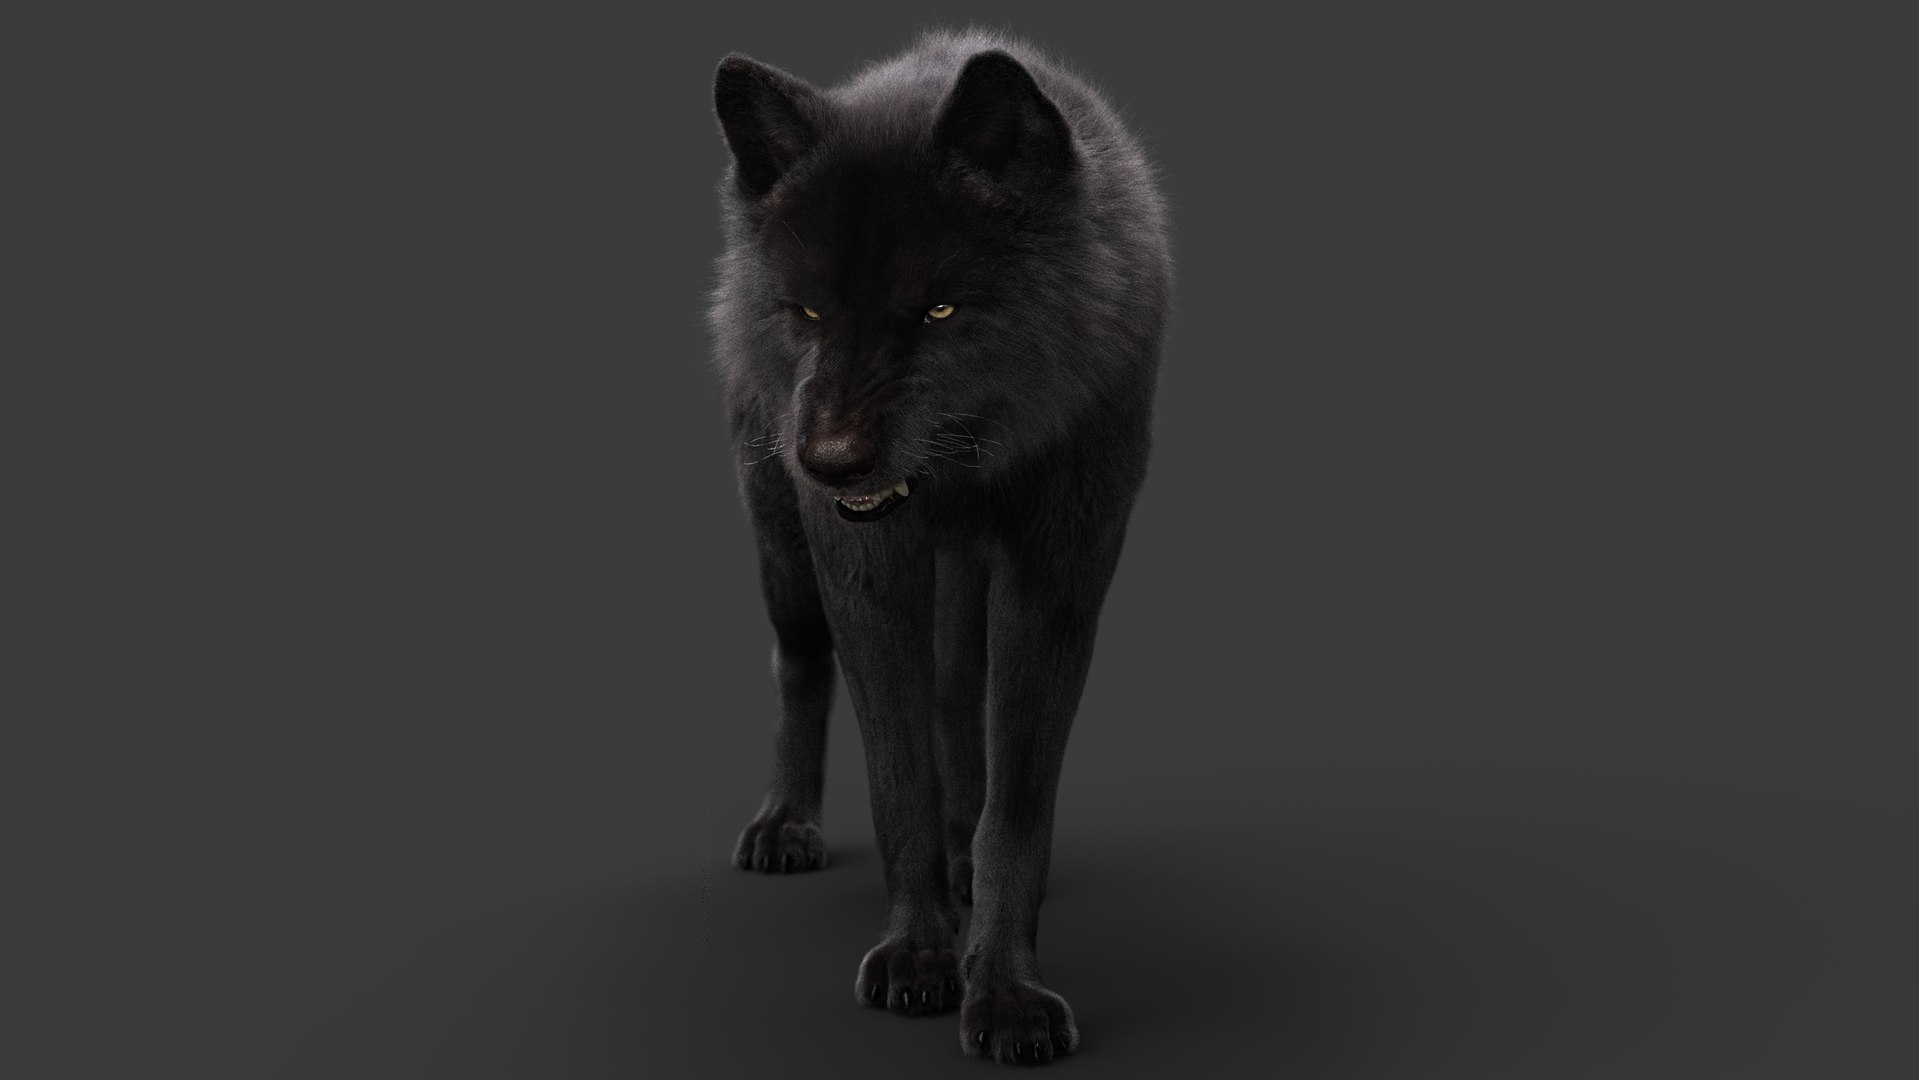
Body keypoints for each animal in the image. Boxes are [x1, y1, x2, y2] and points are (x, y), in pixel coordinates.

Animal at [707, 28, 1171, 1065]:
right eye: (806, 311)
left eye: (939, 312)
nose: (829, 461)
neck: (968, 469)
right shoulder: (865, 568)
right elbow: (897, 778)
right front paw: (918, 956)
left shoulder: (1061, 569)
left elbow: (1017, 804)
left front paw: (1003, 990)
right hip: (781, 549)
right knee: (798, 662)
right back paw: (782, 826)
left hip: (964, 576)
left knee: (959, 696)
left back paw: (960, 859)